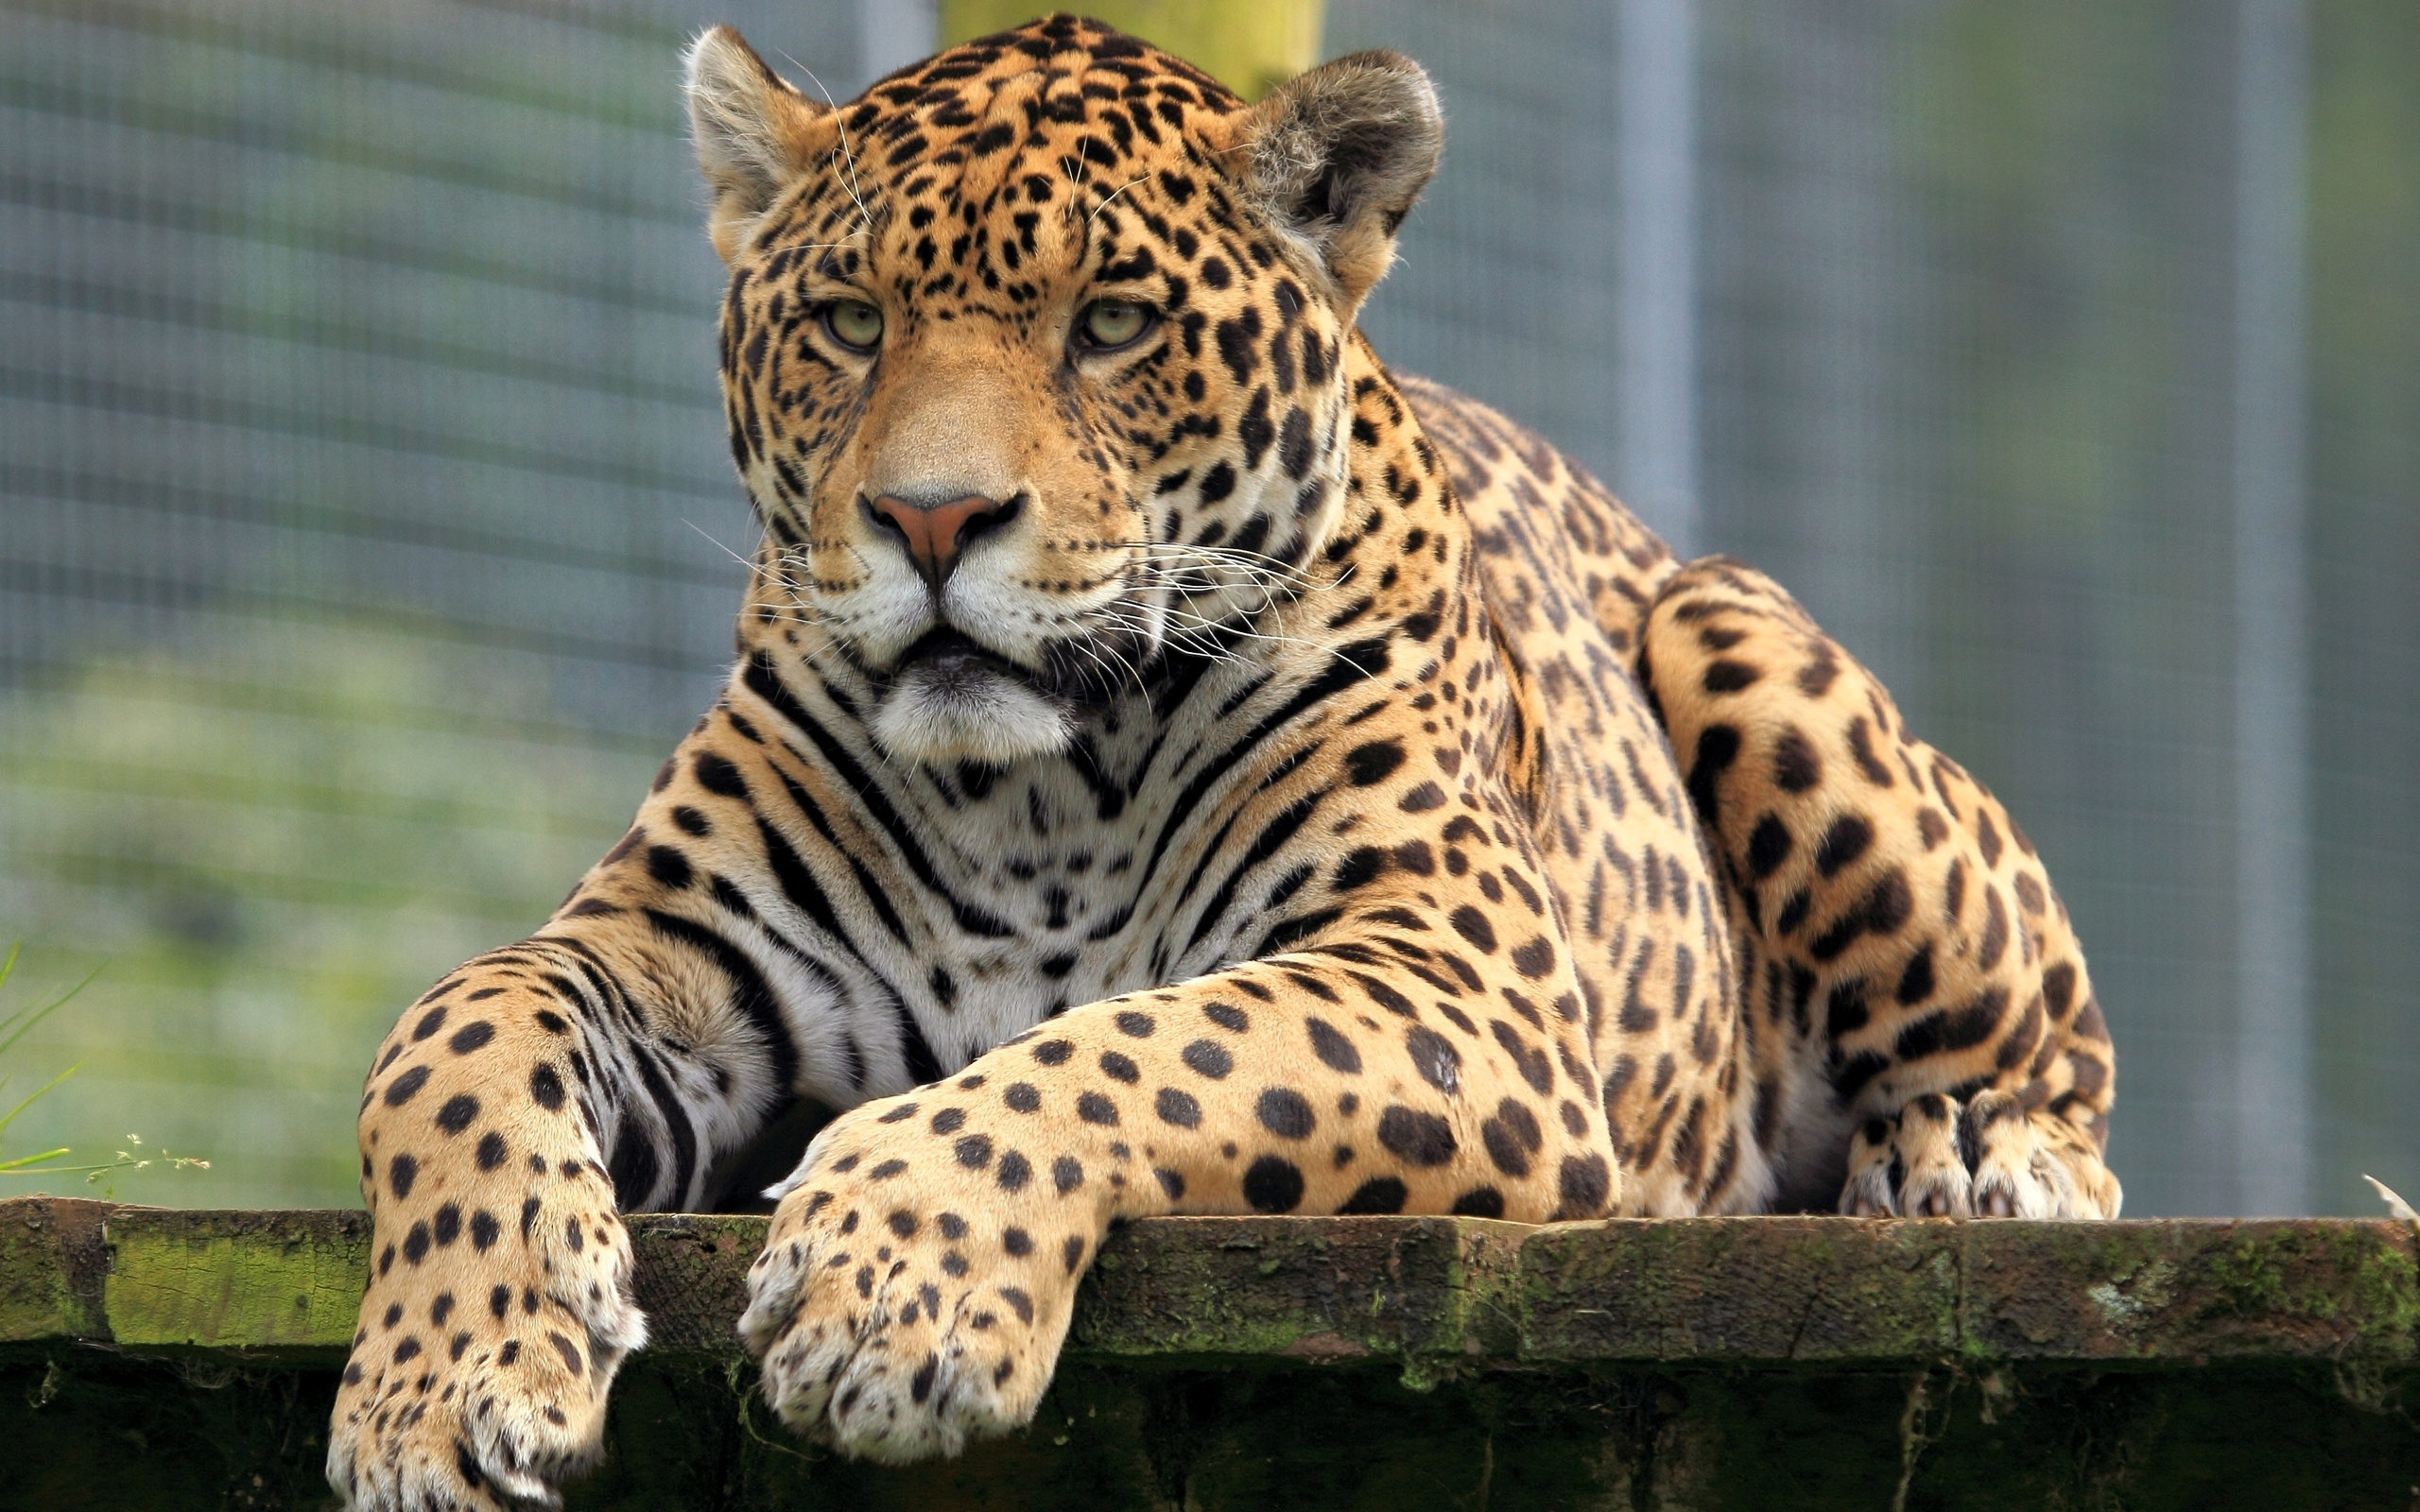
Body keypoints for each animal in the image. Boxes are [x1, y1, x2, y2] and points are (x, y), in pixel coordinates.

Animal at [325, 16, 2121, 1507]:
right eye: (846, 322)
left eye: (1112, 325)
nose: (929, 521)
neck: (1030, 790)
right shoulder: (673, 952)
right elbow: (451, 1032)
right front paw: (445, 1385)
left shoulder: (1458, 979)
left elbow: (1143, 1042)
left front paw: (893, 1289)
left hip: (1728, 632)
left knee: (2057, 1063)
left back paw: (1979, 1154)